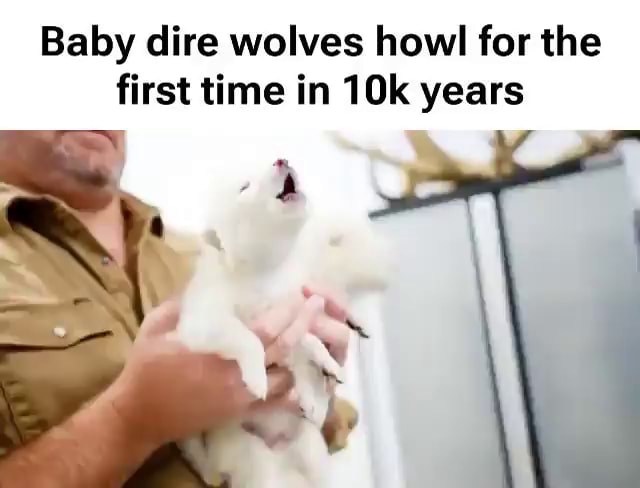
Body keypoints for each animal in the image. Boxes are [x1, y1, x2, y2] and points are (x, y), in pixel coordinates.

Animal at [176, 159, 389, 488]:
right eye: (244, 187)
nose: (281, 160)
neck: (266, 274)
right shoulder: (205, 320)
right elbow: (245, 337)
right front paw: (256, 375)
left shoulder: (294, 309)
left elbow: (308, 341)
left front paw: (325, 362)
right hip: (254, 458)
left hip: (310, 450)